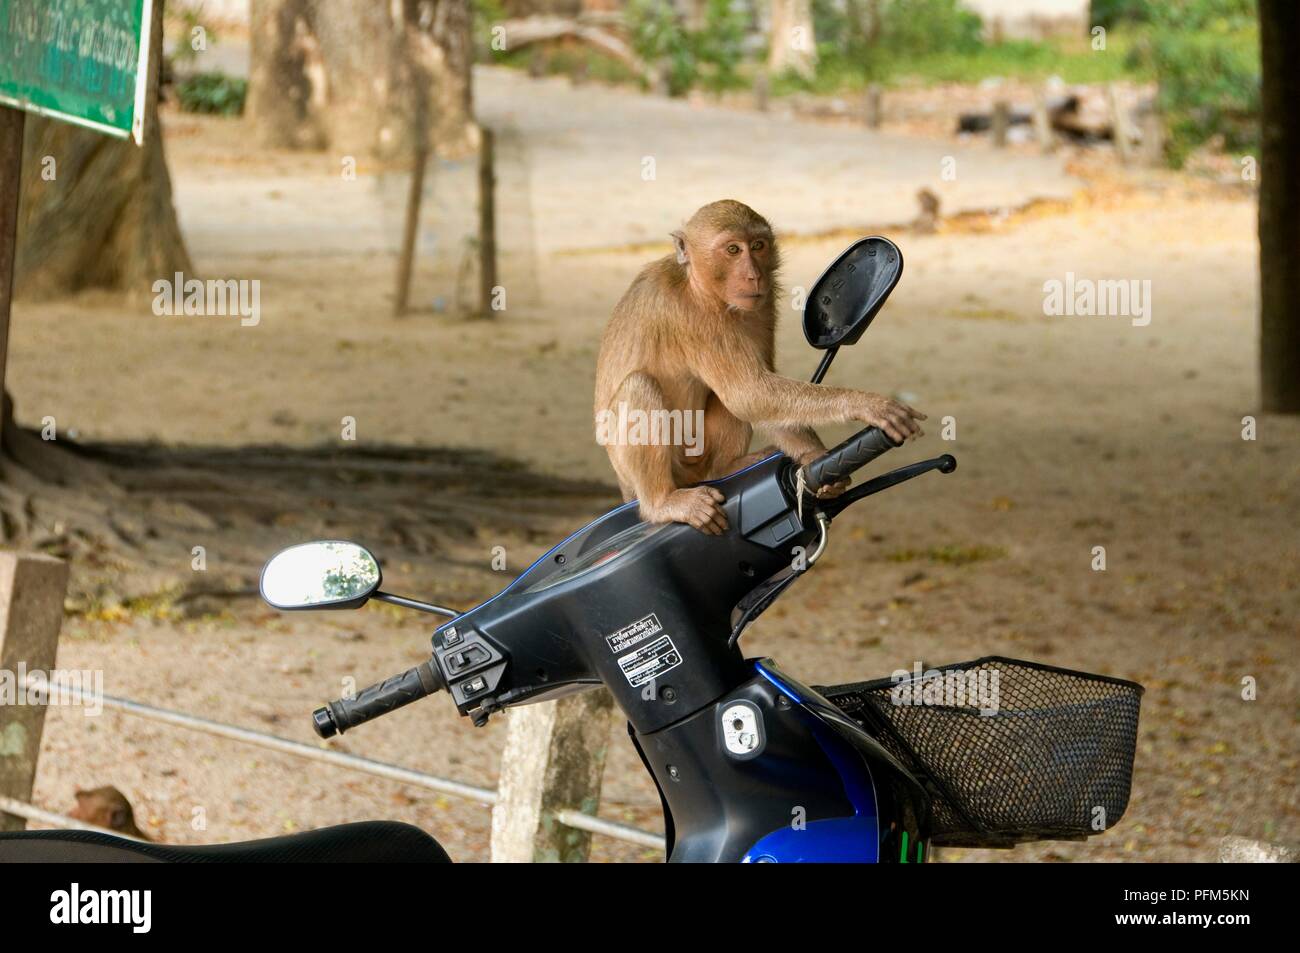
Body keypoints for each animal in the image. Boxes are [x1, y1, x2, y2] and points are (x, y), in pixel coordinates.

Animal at [594, 199, 925, 535]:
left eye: (757, 246)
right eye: (732, 250)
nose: (754, 275)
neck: (699, 287)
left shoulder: (764, 306)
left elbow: (760, 395)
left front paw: (813, 458)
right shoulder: (692, 316)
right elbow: (748, 392)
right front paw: (867, 405)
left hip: (701, 469)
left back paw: (730, 467)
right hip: (656, 473)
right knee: (640, 385)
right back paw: (662, 502)